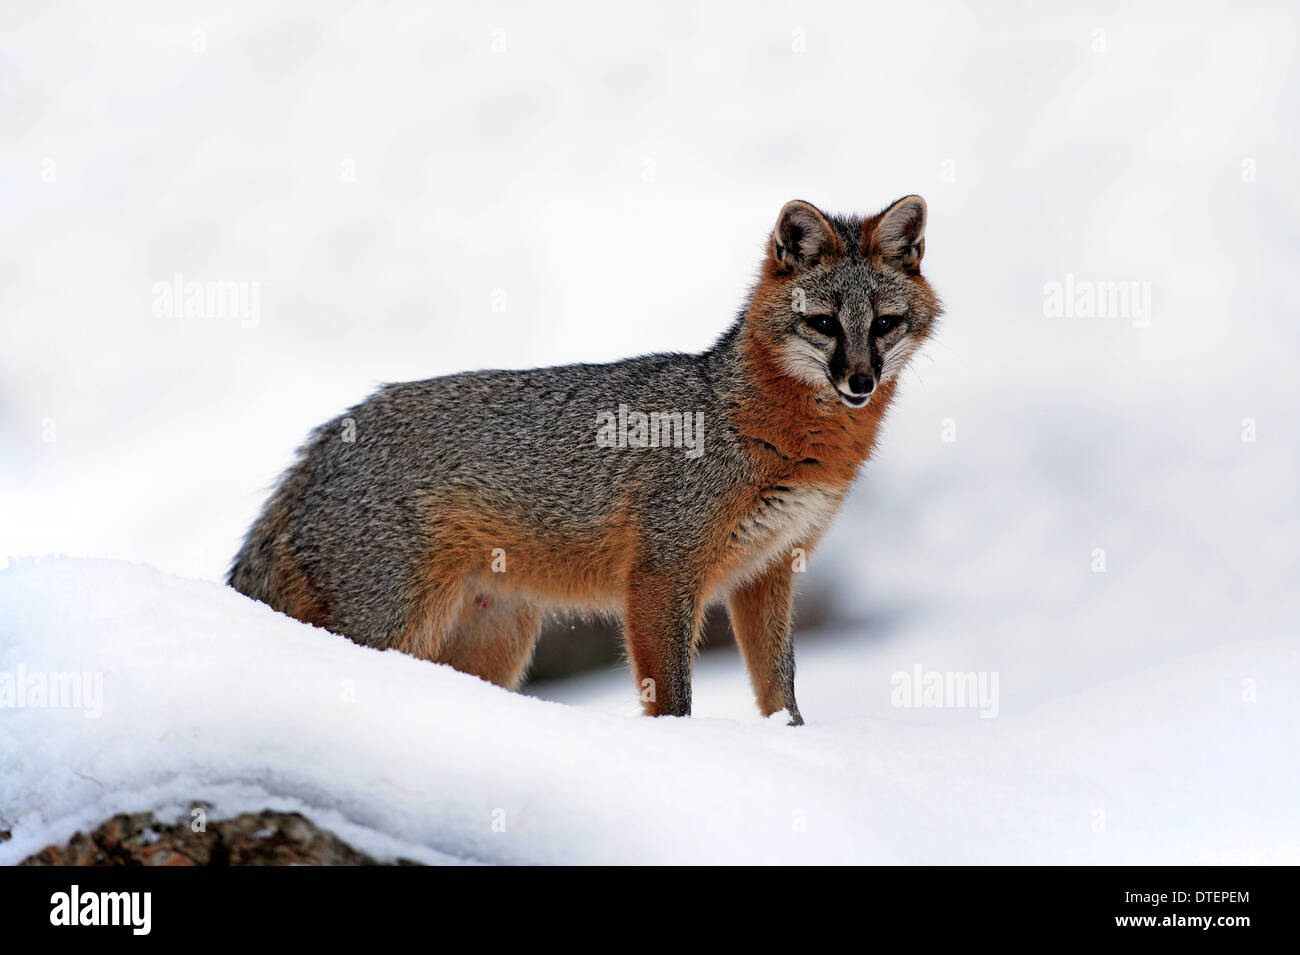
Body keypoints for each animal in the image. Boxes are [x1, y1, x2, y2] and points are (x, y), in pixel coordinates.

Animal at [229, 195, 941, 724]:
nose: (860, 382)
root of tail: (320, 443)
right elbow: (674, 700)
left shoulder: (769, 571)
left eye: (883, 324)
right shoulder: (662, 573)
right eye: (824, 324)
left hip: (495, 645)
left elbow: (782, 697)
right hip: (395, 626)